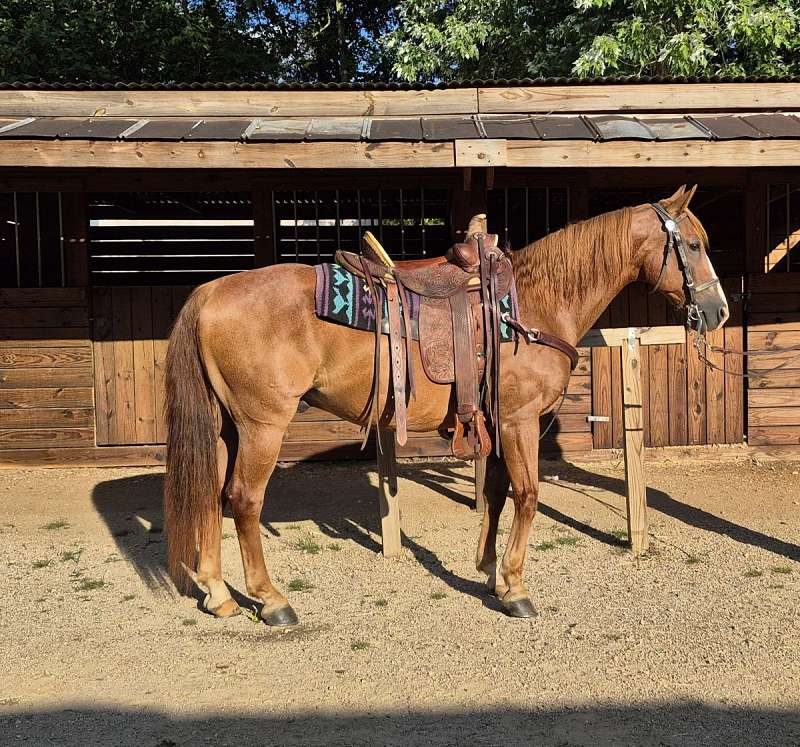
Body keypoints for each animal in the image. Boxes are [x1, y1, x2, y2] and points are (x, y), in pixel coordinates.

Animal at [163, 184, 729, 625]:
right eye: (693, 244)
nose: (718, 311)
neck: (533, 306)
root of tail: (211, 291)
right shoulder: (521, 421)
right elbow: (528, 495)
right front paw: (518, 588)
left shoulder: (499, 423)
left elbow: (497, 493)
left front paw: (492, 574)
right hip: (262, 425)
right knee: (244, 499)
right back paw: (271, 599)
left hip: (224, 426)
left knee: (210, 494)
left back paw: (218, 595)